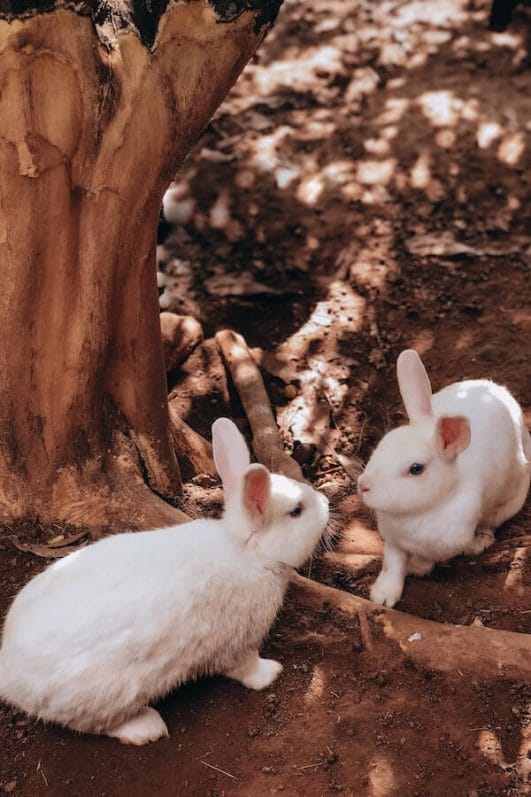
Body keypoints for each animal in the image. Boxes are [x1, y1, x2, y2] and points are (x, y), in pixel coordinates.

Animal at [0, 418, 329, 745]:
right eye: (296, 511)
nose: (326, 502)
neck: (247, 551)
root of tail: (10, 679)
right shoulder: (240, 642)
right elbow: (246, 669)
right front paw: (272, 673)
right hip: (105, 695)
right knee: (98, 724)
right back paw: (147, 727)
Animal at [357, 349, 530, 608]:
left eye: (416, 469)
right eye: (382, 445)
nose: (363, 486)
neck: (422, 511)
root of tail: (500, 390)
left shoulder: (442, 544)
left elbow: (424, 558)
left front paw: (417, 567)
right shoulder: (394, 541)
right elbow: (392, 565)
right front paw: (382, 596)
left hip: (508, 501)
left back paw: (480, 541)